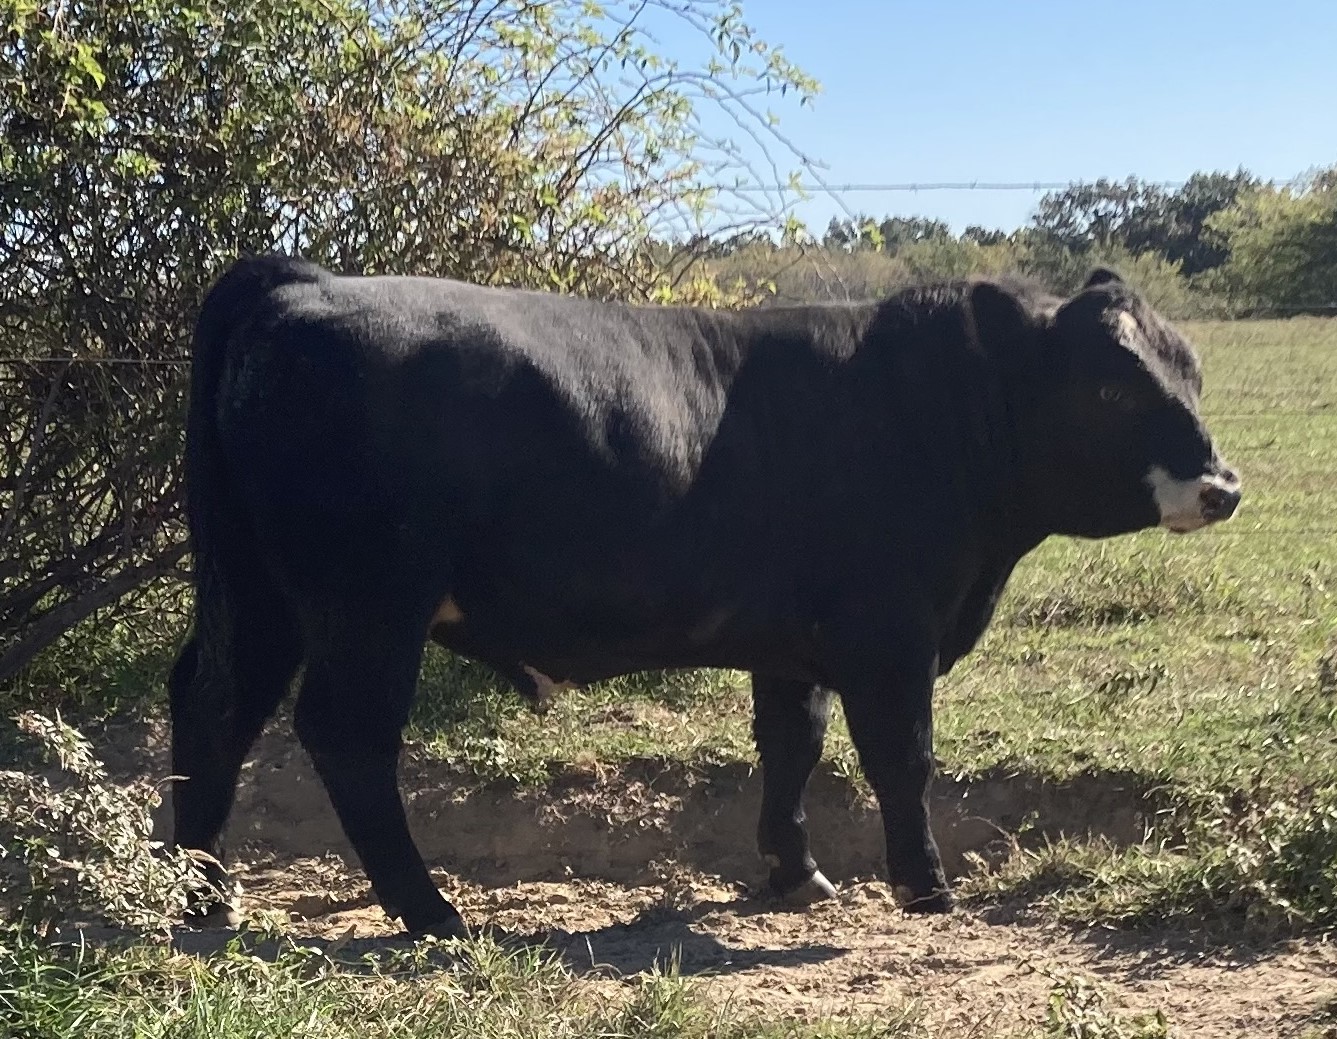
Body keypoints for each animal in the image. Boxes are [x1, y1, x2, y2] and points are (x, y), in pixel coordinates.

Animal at [168, 256, 1241, 939]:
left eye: (1191, 368)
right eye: (1109, 389)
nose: (1221, 485)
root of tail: (305, 283)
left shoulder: (794, 644)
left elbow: (793, 745)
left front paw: (795, 870)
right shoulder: (890, 637)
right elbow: (902, 759)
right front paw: (925, 885)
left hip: (260, 597)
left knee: (214, 705)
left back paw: (205, 895)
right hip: (367, 607)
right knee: (344, 735)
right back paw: (428, 908)